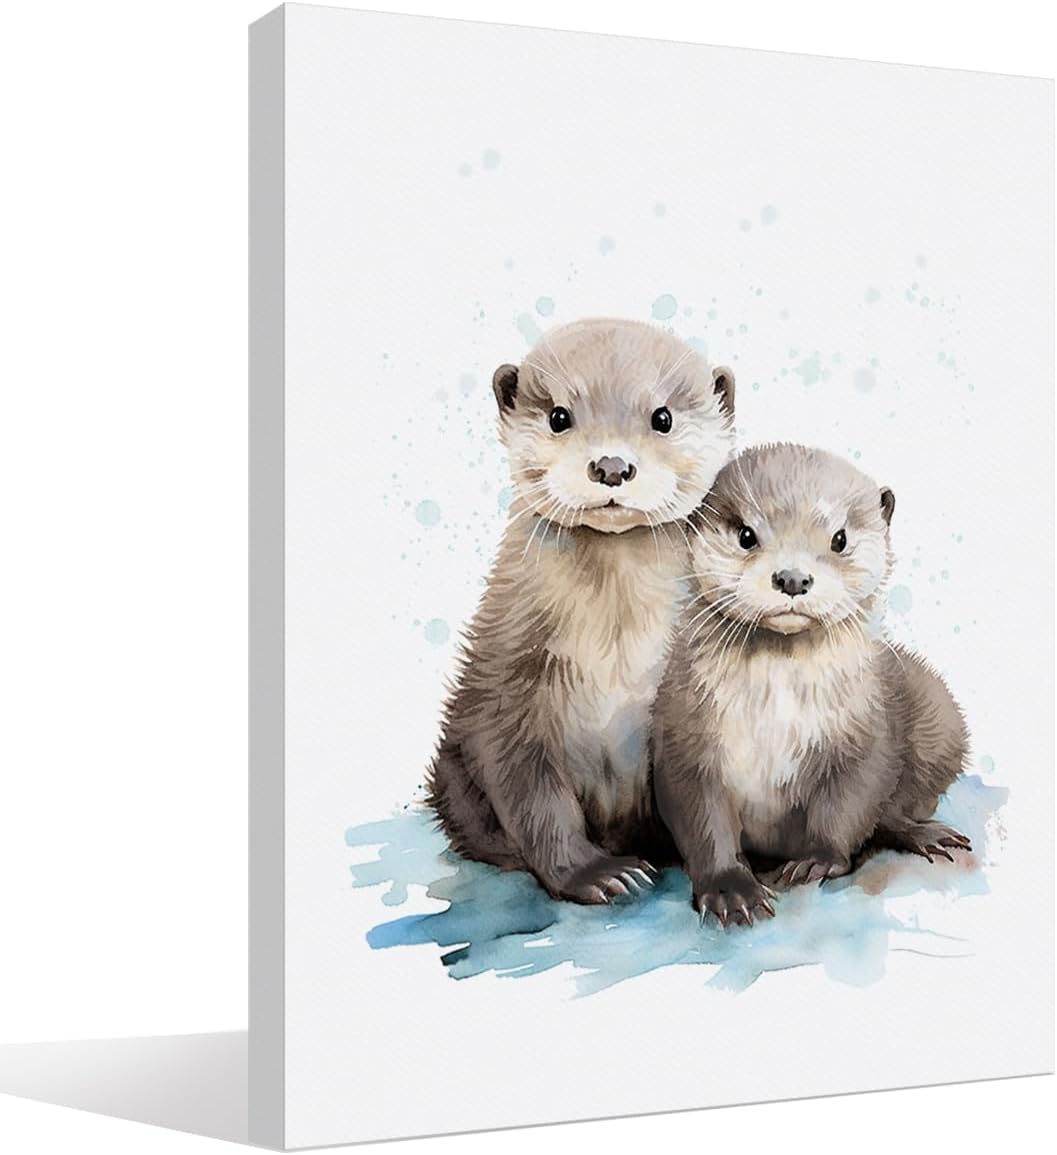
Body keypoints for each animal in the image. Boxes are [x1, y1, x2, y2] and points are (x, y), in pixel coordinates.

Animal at [426, 318, 735, 904]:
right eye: (559, 416)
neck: (615, 633)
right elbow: (532, 793)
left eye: (662, 417)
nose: (611, 465)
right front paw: (596, 873)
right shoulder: (506, 677)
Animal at [652, 443, 971, 925]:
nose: (792, 578)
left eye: (839, 539)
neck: (777, 709)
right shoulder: (683, 732)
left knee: (893, 812)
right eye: (746, 535)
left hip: (941, 716)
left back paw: (923, 833)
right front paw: (730, 889)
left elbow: (848, 802)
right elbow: (703, 819)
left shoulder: (866, 731)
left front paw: (817, 859)